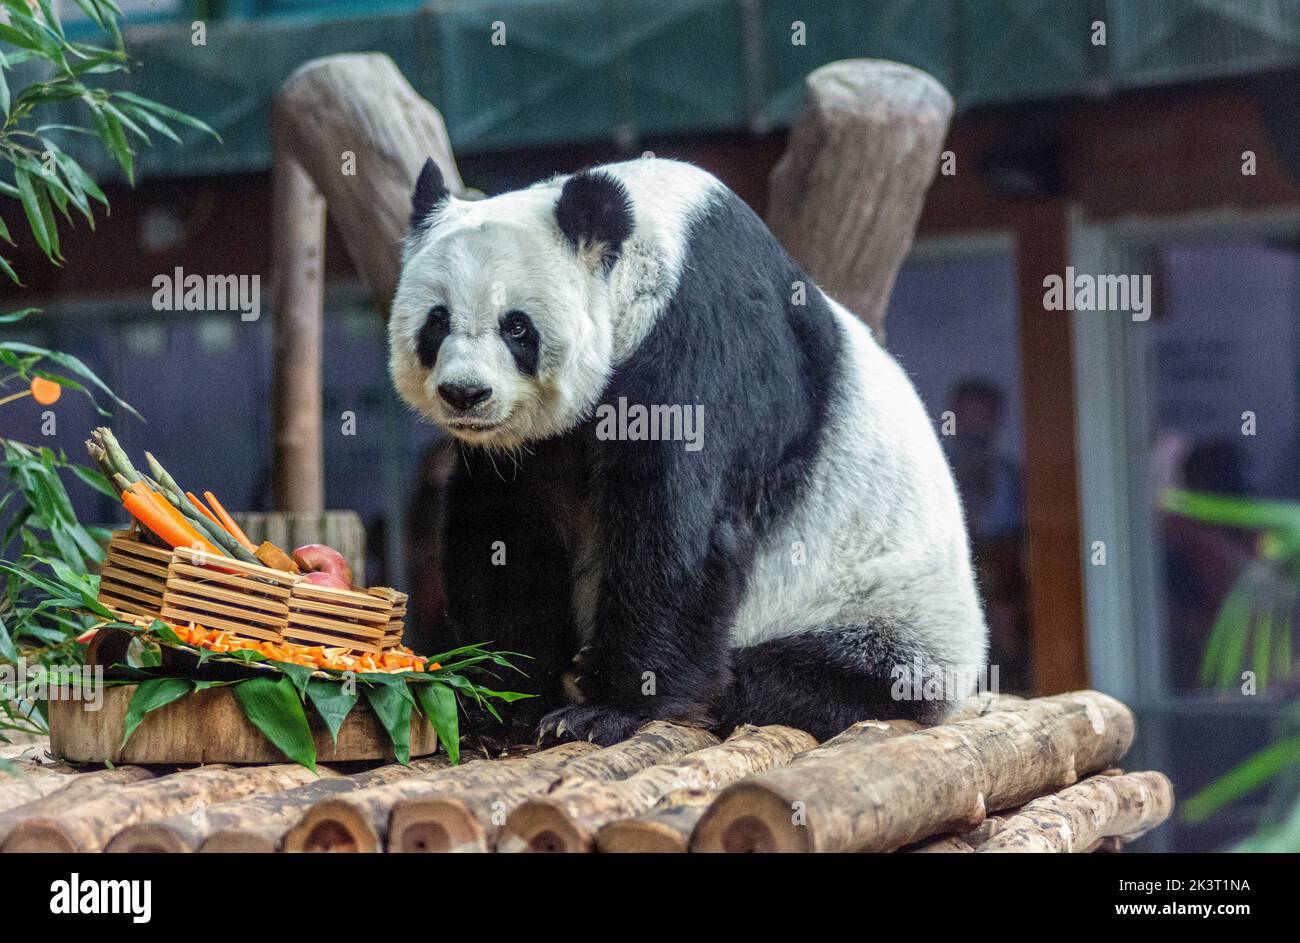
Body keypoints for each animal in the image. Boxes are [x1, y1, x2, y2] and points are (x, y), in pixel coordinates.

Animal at [389, 156, 988, 746]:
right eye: (437, 321)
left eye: (516, 327)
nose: (465, 393)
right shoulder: (526, 447)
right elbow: (507, 531)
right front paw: (503, 701)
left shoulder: (705, 335)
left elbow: (677, 528)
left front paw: (606, 711)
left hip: (886, 619)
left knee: (813, 677)